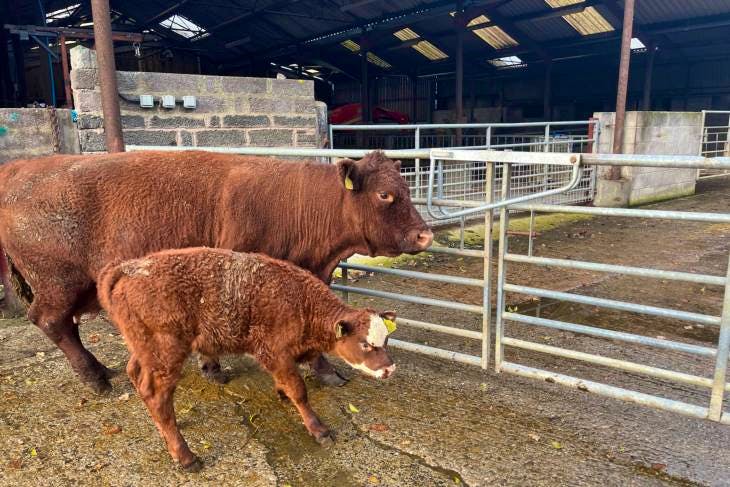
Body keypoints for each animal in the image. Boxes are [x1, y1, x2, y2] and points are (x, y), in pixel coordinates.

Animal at [0, 150, 431, 394]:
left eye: (406, 188)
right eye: (385, 194)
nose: (425, 234)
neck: (295, 203)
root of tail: (19, 169)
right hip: (59, 281)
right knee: (52, 321)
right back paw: (95, 377)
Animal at [97, 247, 397, 471]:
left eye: (386, 340)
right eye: (366, 344)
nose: (390, 369)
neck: (300, 301)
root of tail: (128, 268)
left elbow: (286, 384)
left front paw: (282, 394)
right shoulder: (276, 352)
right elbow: (299, 391)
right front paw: (319, 429)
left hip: (145, 350)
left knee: (135, 373)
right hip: (166, 354)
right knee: (156, 397)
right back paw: (184, 455)